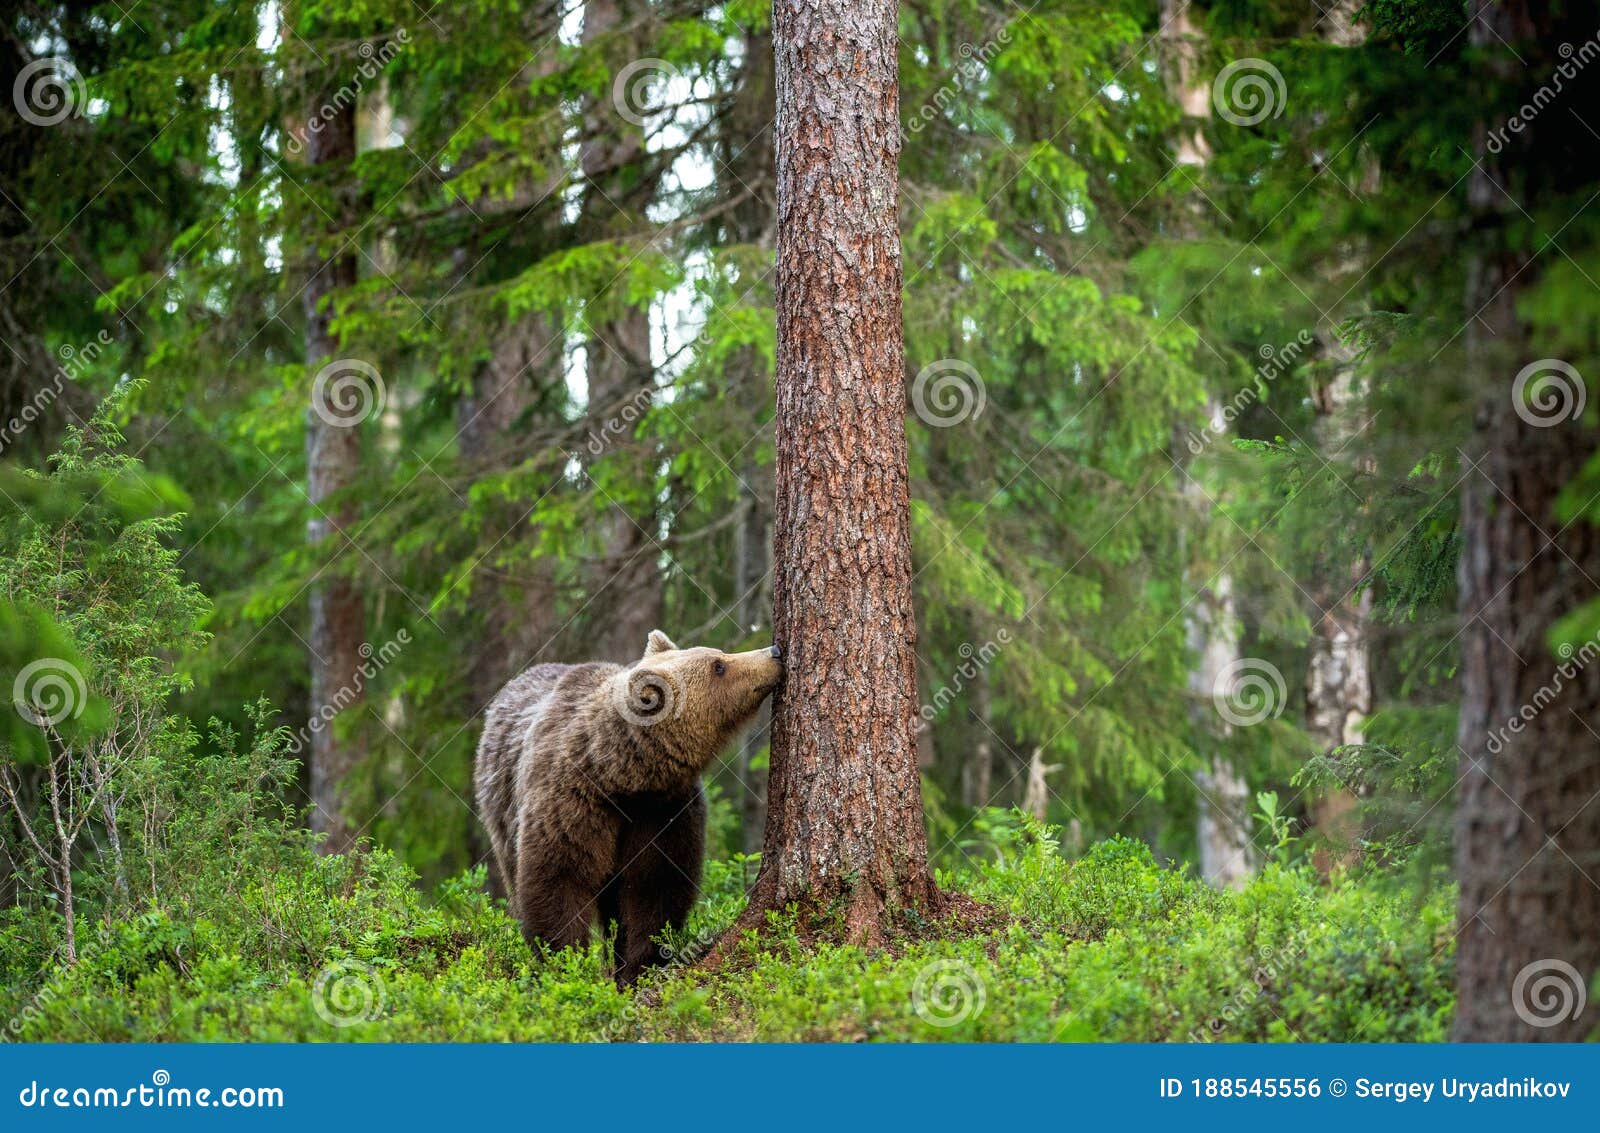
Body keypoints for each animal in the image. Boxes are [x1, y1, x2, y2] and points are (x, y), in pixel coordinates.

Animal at [474, 629, 782, 984]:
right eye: (719, 666)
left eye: (718, 655)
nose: (774, 651)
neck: (623, 778)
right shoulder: (570, 801)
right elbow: (557, 880)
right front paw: (568, 966)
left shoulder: (663, 812)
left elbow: (653, 888)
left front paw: (637, 968)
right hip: (499, 802)